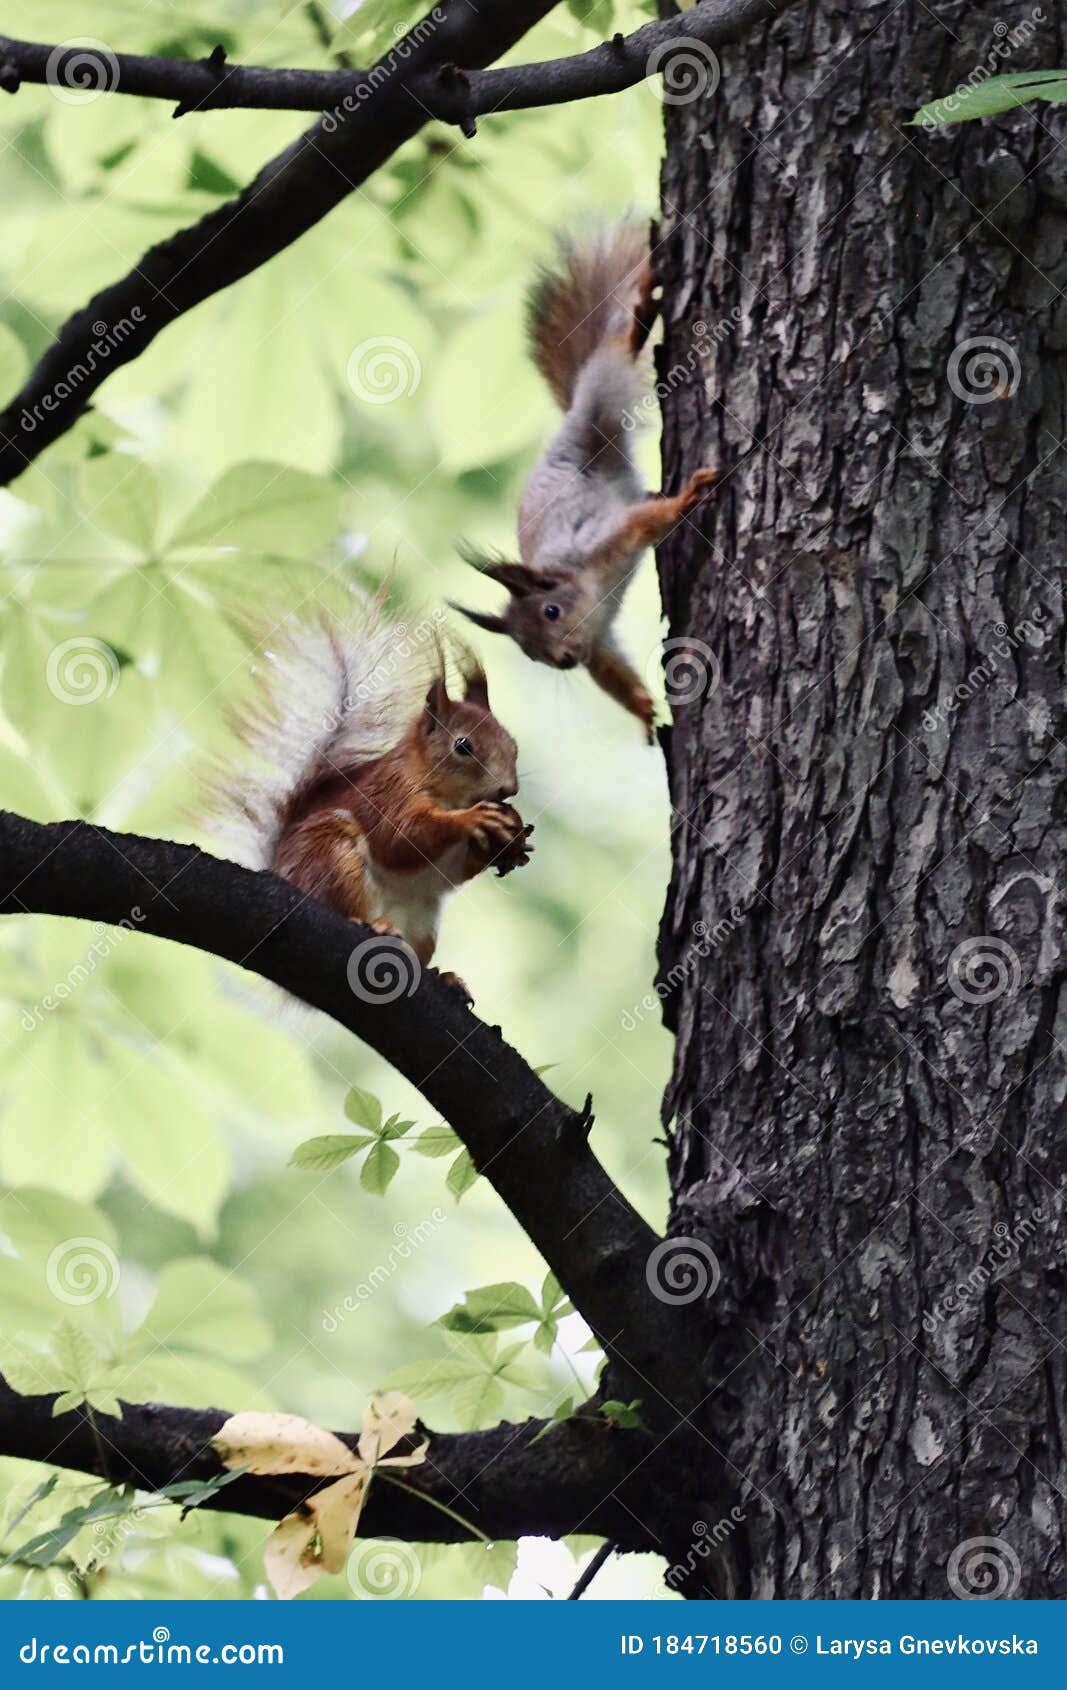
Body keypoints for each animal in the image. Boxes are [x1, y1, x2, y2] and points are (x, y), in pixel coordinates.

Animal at [205, 594, 532, 1003]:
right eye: (462, 746)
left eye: (513, 744)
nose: (509, 790)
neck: (444, 792)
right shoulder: (390, 792)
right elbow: (399, 838)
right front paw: (472, 820)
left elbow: (453, 870)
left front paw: (510, 843)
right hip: (332, 858)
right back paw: (373, 923)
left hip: (423, 925)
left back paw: (443, 976)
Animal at [450, 219, 719, 741]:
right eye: (529, 654)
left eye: (551, 611)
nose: (563, 659)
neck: (589, 587)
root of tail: (568, 418)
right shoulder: (599, 636)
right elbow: (610, 670)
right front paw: (644, 710)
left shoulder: (600, 542)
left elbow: (644, 523)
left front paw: (688, 497)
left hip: (596, 404)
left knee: (613, 351)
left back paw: (640, 310)